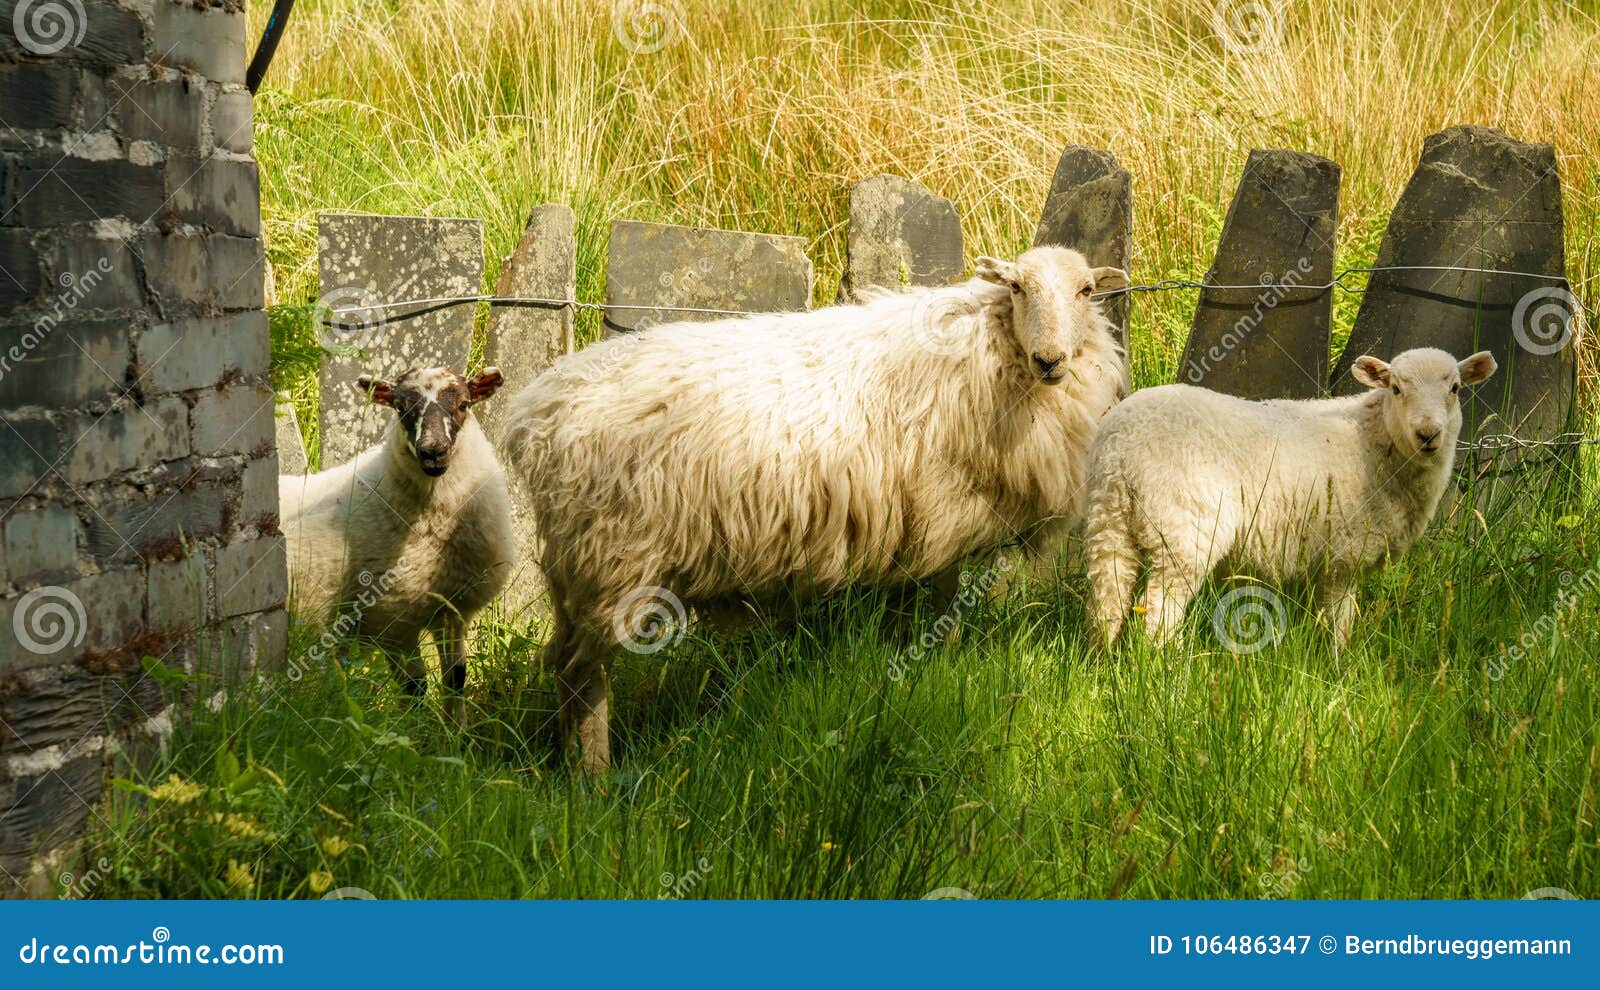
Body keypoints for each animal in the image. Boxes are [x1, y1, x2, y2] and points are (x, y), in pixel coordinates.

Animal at [279, 366, 515, 724]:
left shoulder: (453, 609)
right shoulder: (393, 621)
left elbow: (455, 678)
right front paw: (415, 733)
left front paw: (456, 732)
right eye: (400, 408)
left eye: (463, 404)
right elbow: (415, 689)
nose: (433, 451)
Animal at [503, 246, 1130, 770]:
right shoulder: (945, 523)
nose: (1050, 359)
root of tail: (537, 413)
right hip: (612, 557)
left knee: (562, 663)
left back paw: (570, 766)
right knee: (584, 675)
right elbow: (941, 615)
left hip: (575, 567)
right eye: (1018, 288)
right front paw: (937, 672)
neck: (994, 354)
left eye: (1086, 292)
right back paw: (594, 776)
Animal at [1083, 347, 1498, 650]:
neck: (1373, 438)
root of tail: (1121, 445)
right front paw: (1340, 668)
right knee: (1159, 611)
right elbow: (1340, 622)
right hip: (1183, 528)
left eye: (1455, 388)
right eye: (1396, 388)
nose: (1428, 434)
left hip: (1108, 521)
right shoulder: (1344, 552)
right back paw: (1166, 669)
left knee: (1108, 597)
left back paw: (1105, 659)